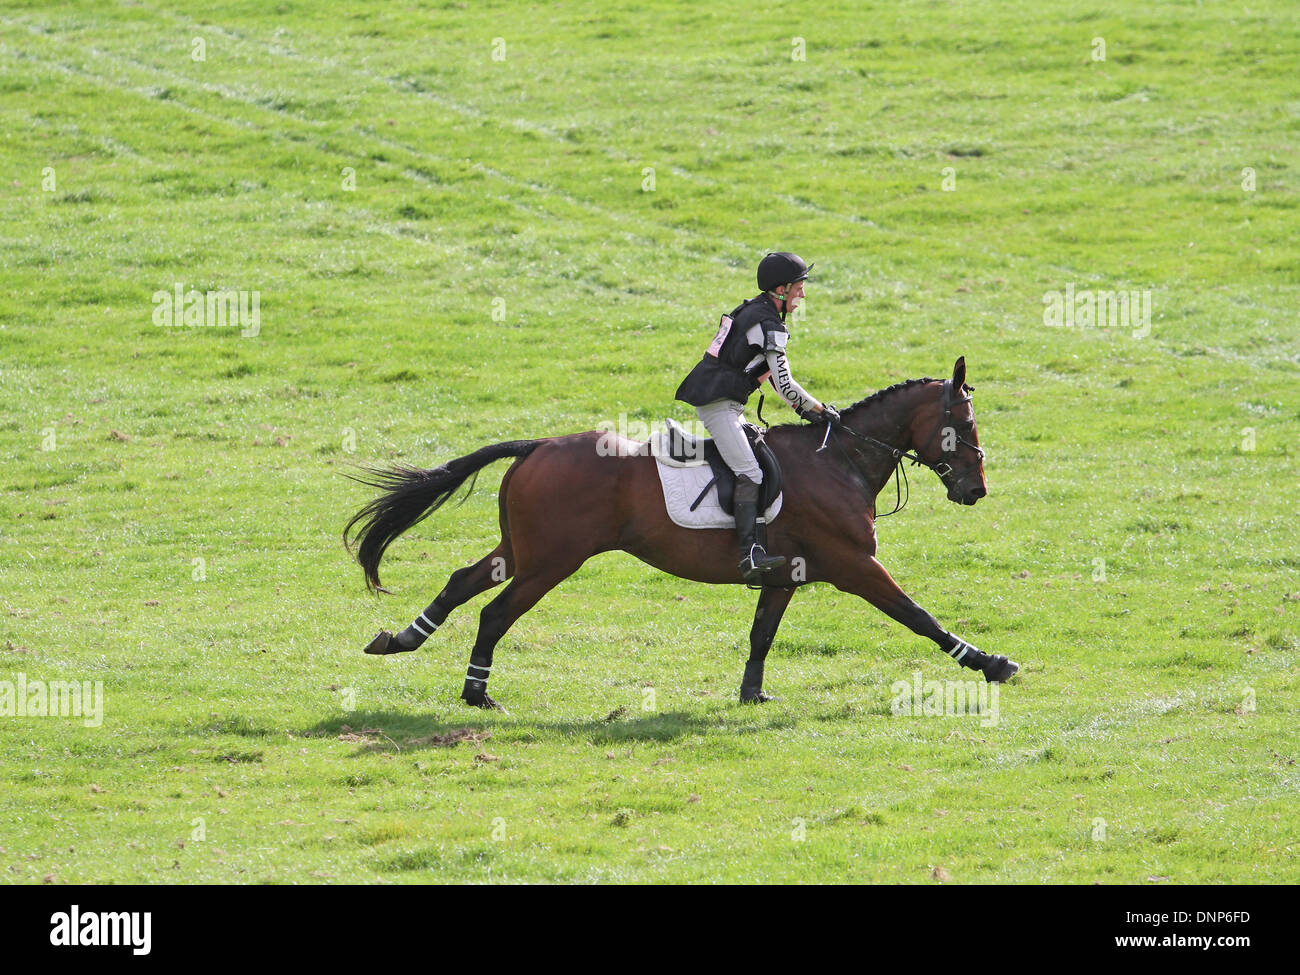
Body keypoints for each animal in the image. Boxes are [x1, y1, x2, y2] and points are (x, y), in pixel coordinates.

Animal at [344, 356, 1018, 711]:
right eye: (963, 423)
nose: (975, 489)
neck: (842, 460)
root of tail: (538, 446)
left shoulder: (788, 575)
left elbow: (763, 634)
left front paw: (751, 695)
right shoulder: (853, 565)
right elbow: (919, 615)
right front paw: (989, 663)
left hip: (522, 551)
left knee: (463, 581)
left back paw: (401, 639)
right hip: (551, 562)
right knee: (494, 612)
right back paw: (477, 693)